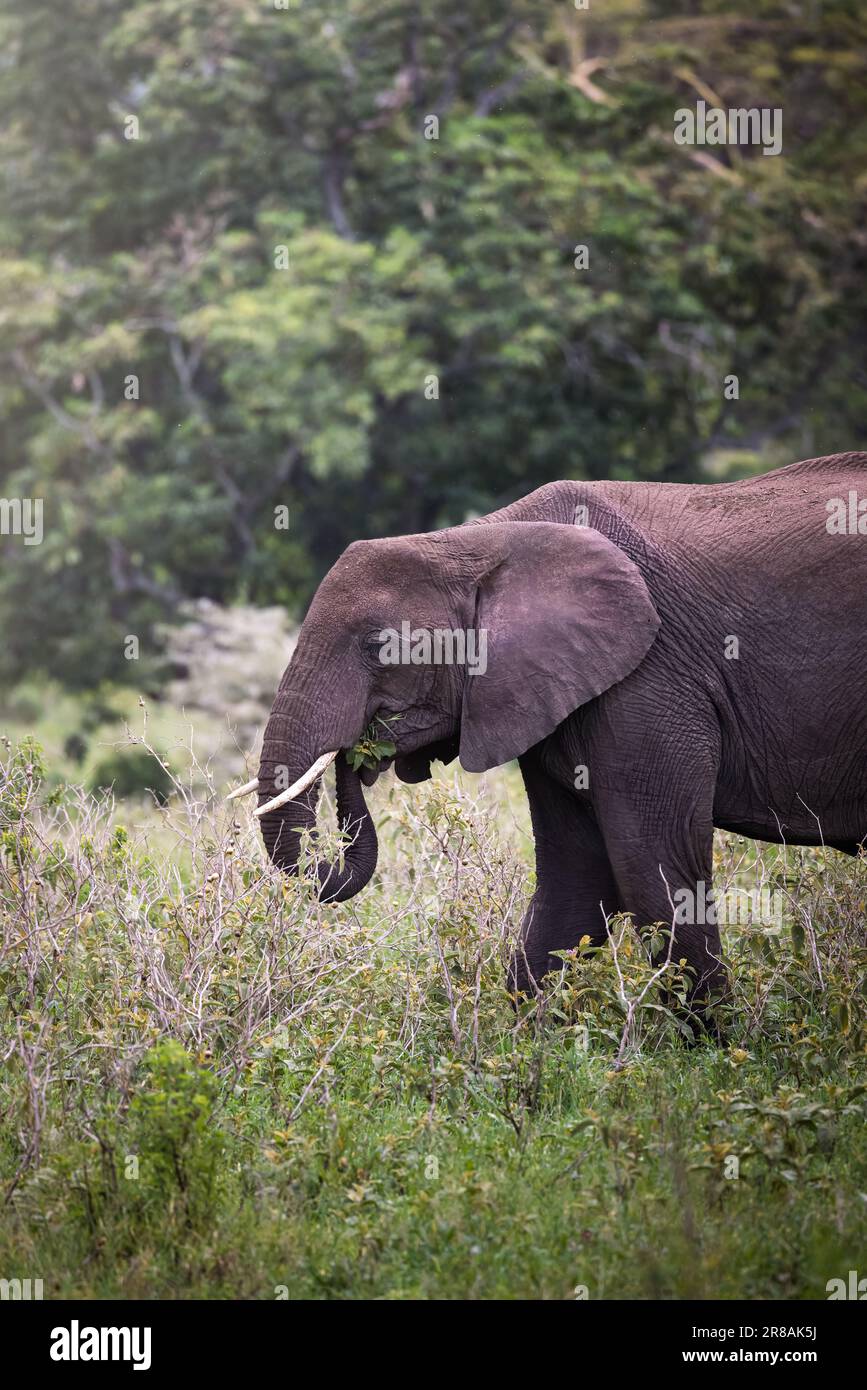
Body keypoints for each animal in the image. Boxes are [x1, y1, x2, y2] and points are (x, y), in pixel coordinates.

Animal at [236, 451, 867, 1018]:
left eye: (378, 645)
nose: (359, 757)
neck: (480, 541)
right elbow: (574, 880)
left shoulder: (650, 676)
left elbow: (656, 874)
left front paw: (717, 1054)